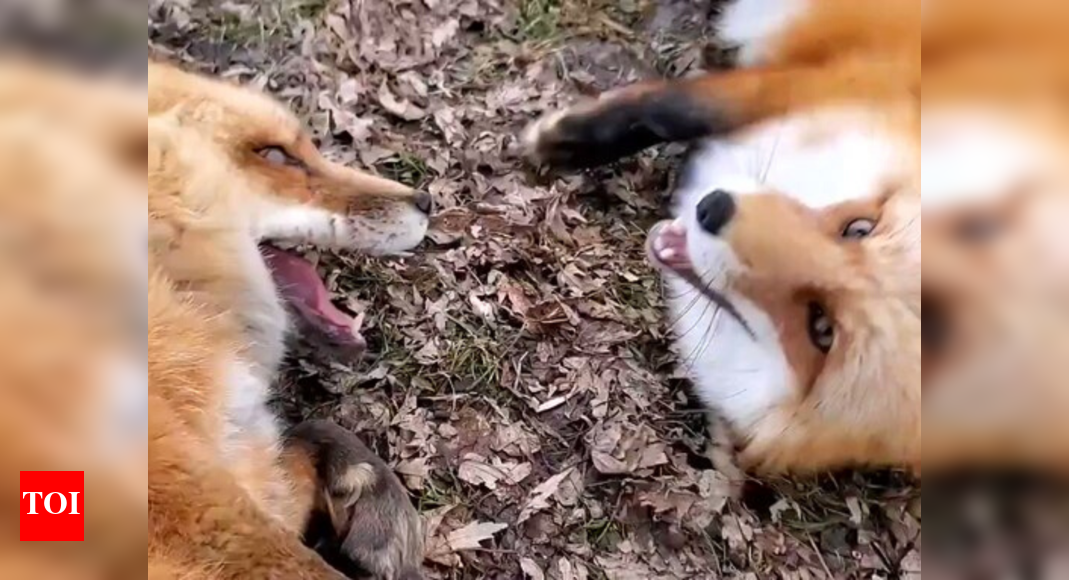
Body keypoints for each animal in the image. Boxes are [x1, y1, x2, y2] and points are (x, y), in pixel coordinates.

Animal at [524, 0, 922, 474]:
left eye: (821, 328)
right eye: (858, 228)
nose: (713, 208)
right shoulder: (844, 79)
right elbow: (679, 110)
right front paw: (565, 138)